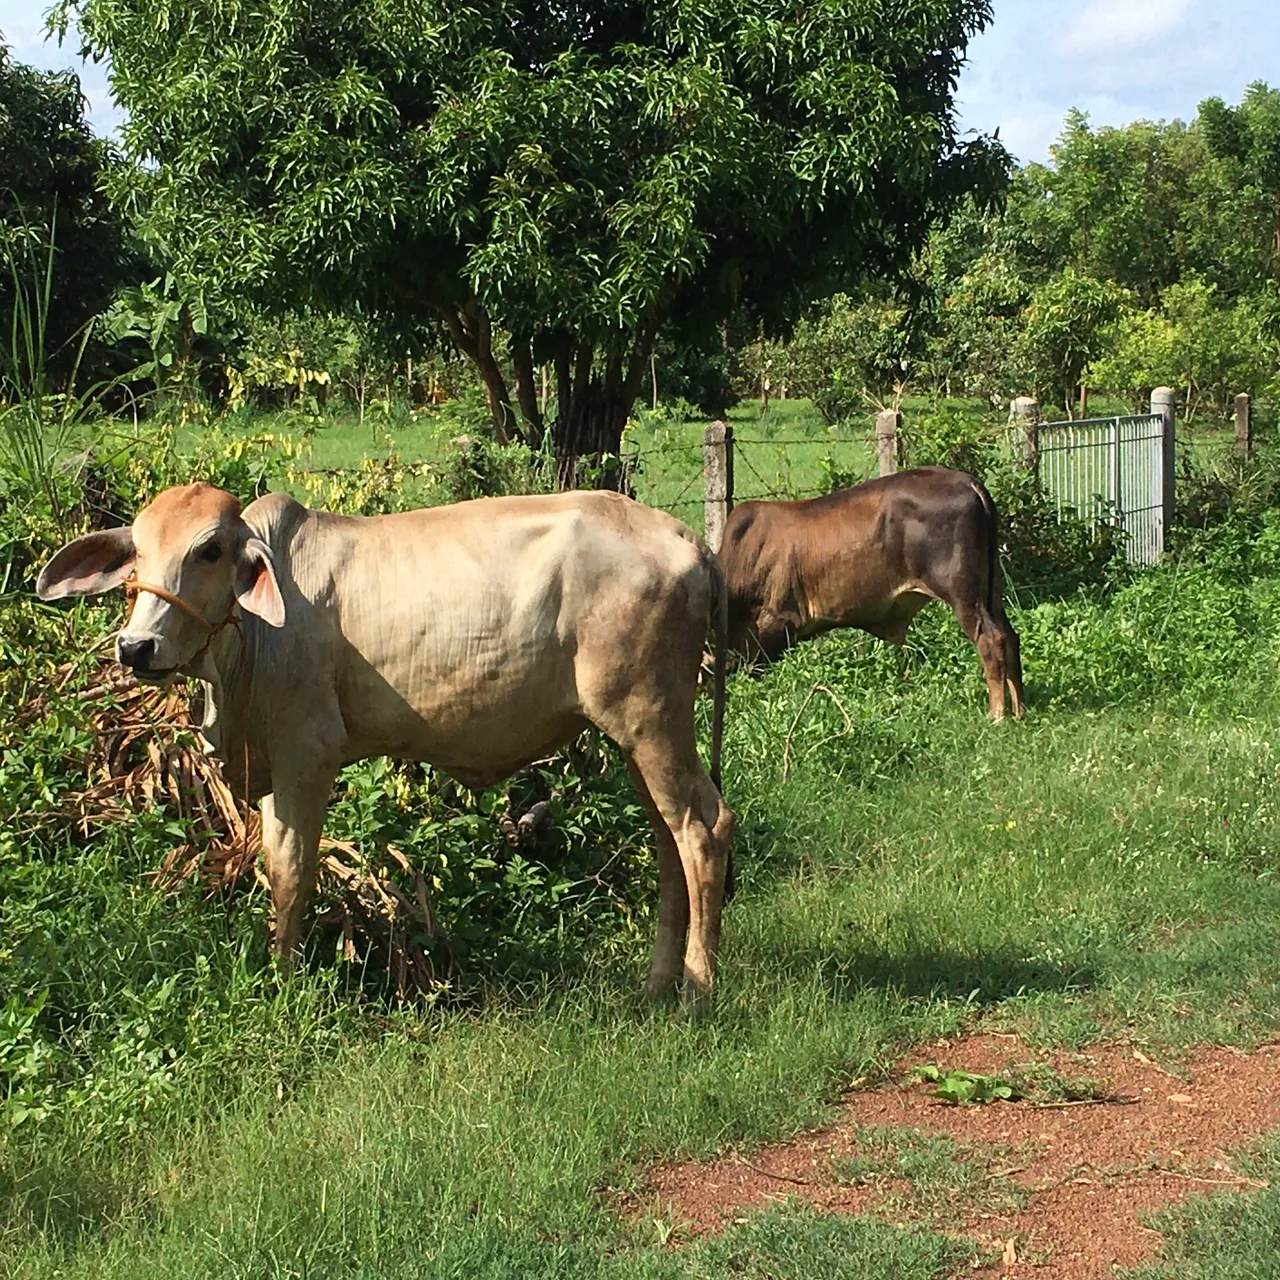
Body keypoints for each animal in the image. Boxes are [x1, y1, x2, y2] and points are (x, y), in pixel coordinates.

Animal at [36, 484, 734, 1005]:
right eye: (137, 550)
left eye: (208, 549)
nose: (136, 647)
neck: (249, 647)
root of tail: (691, 542)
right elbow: (274, 865)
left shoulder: (306, 755)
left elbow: (291, 871)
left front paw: (284, 985)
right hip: (636, 734)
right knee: (669, 839)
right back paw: (656, 984)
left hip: (652, 718)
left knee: (703, 828)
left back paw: (697, 992)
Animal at [718, 467, 1024, 720]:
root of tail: (968, 482)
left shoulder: (776, 623)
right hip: (991, 592)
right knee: (1010, 637)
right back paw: (1020, 711)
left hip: (963, 593)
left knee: (991, 641)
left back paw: (998, 715)